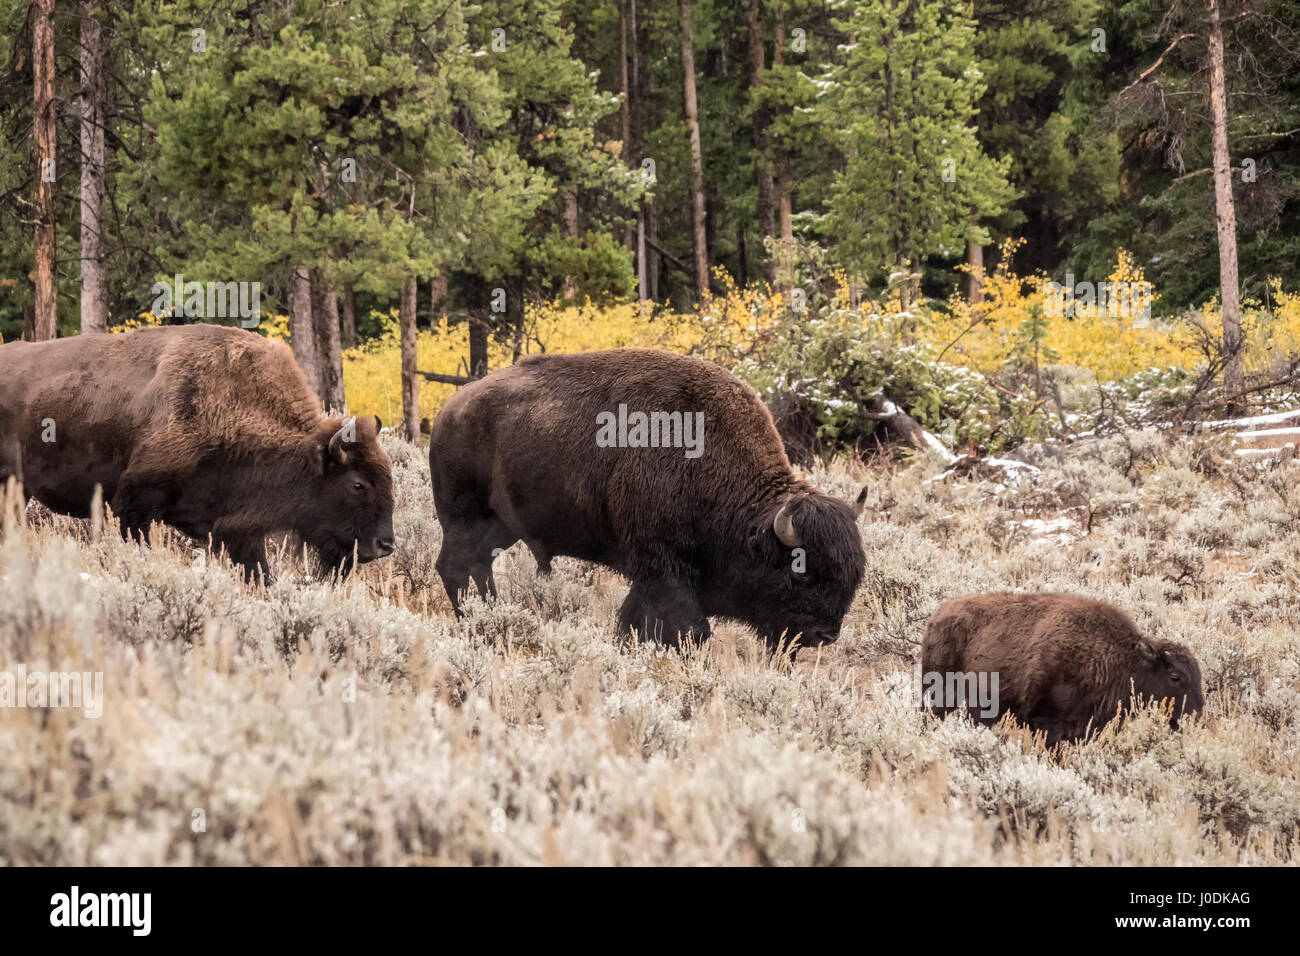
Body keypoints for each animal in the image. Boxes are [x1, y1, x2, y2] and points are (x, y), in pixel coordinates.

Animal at [429, 348, 867, 648]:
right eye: (801, 570)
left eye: (854, 571)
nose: (823, 634)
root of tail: (448, 411)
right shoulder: (661, 567)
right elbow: (689, 628)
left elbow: (633, 620)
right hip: (463, 518)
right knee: (456, 568)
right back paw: (474, 621)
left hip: (501, 526)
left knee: (479, 567)